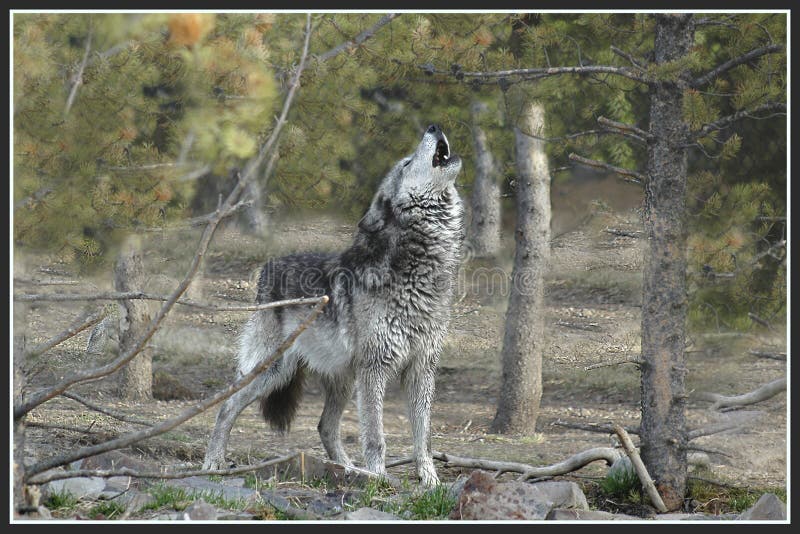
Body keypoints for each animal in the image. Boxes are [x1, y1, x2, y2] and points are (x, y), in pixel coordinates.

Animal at [202, 125, 463, 486]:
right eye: (408, 163)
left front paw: (430, 480)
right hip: (276, 370)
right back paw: (213, 461)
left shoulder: (421, 368)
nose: (433, 126)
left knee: (325, 426)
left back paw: (348, 470)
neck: (418, 269)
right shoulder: (374, 368)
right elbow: (375, 436)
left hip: (341, 380)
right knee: (227, 404)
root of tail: (267, 268)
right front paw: (379, 479)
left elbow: (423, 436)